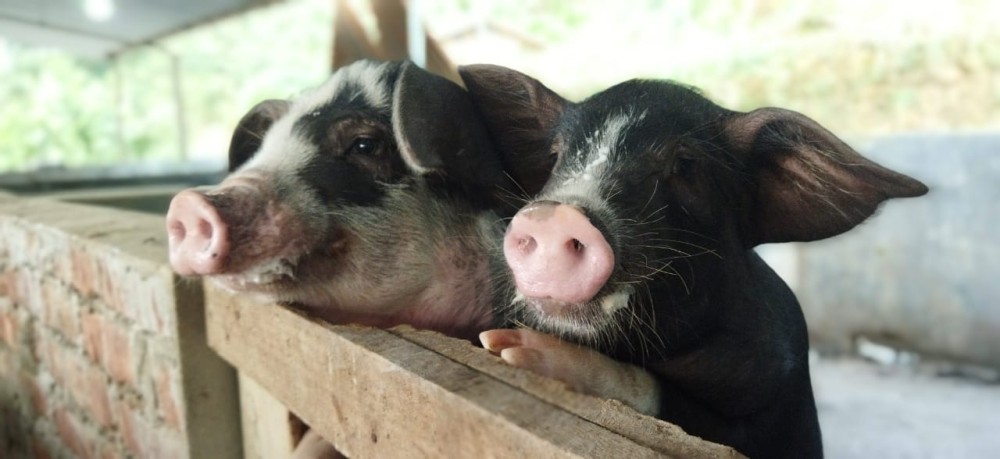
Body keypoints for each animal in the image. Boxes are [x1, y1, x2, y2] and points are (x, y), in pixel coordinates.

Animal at [460, 64, 929, 458]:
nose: (555, 214)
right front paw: (495, 344)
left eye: (686, 165)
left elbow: (668, 403)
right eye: (557, 156)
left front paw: (510, 349)